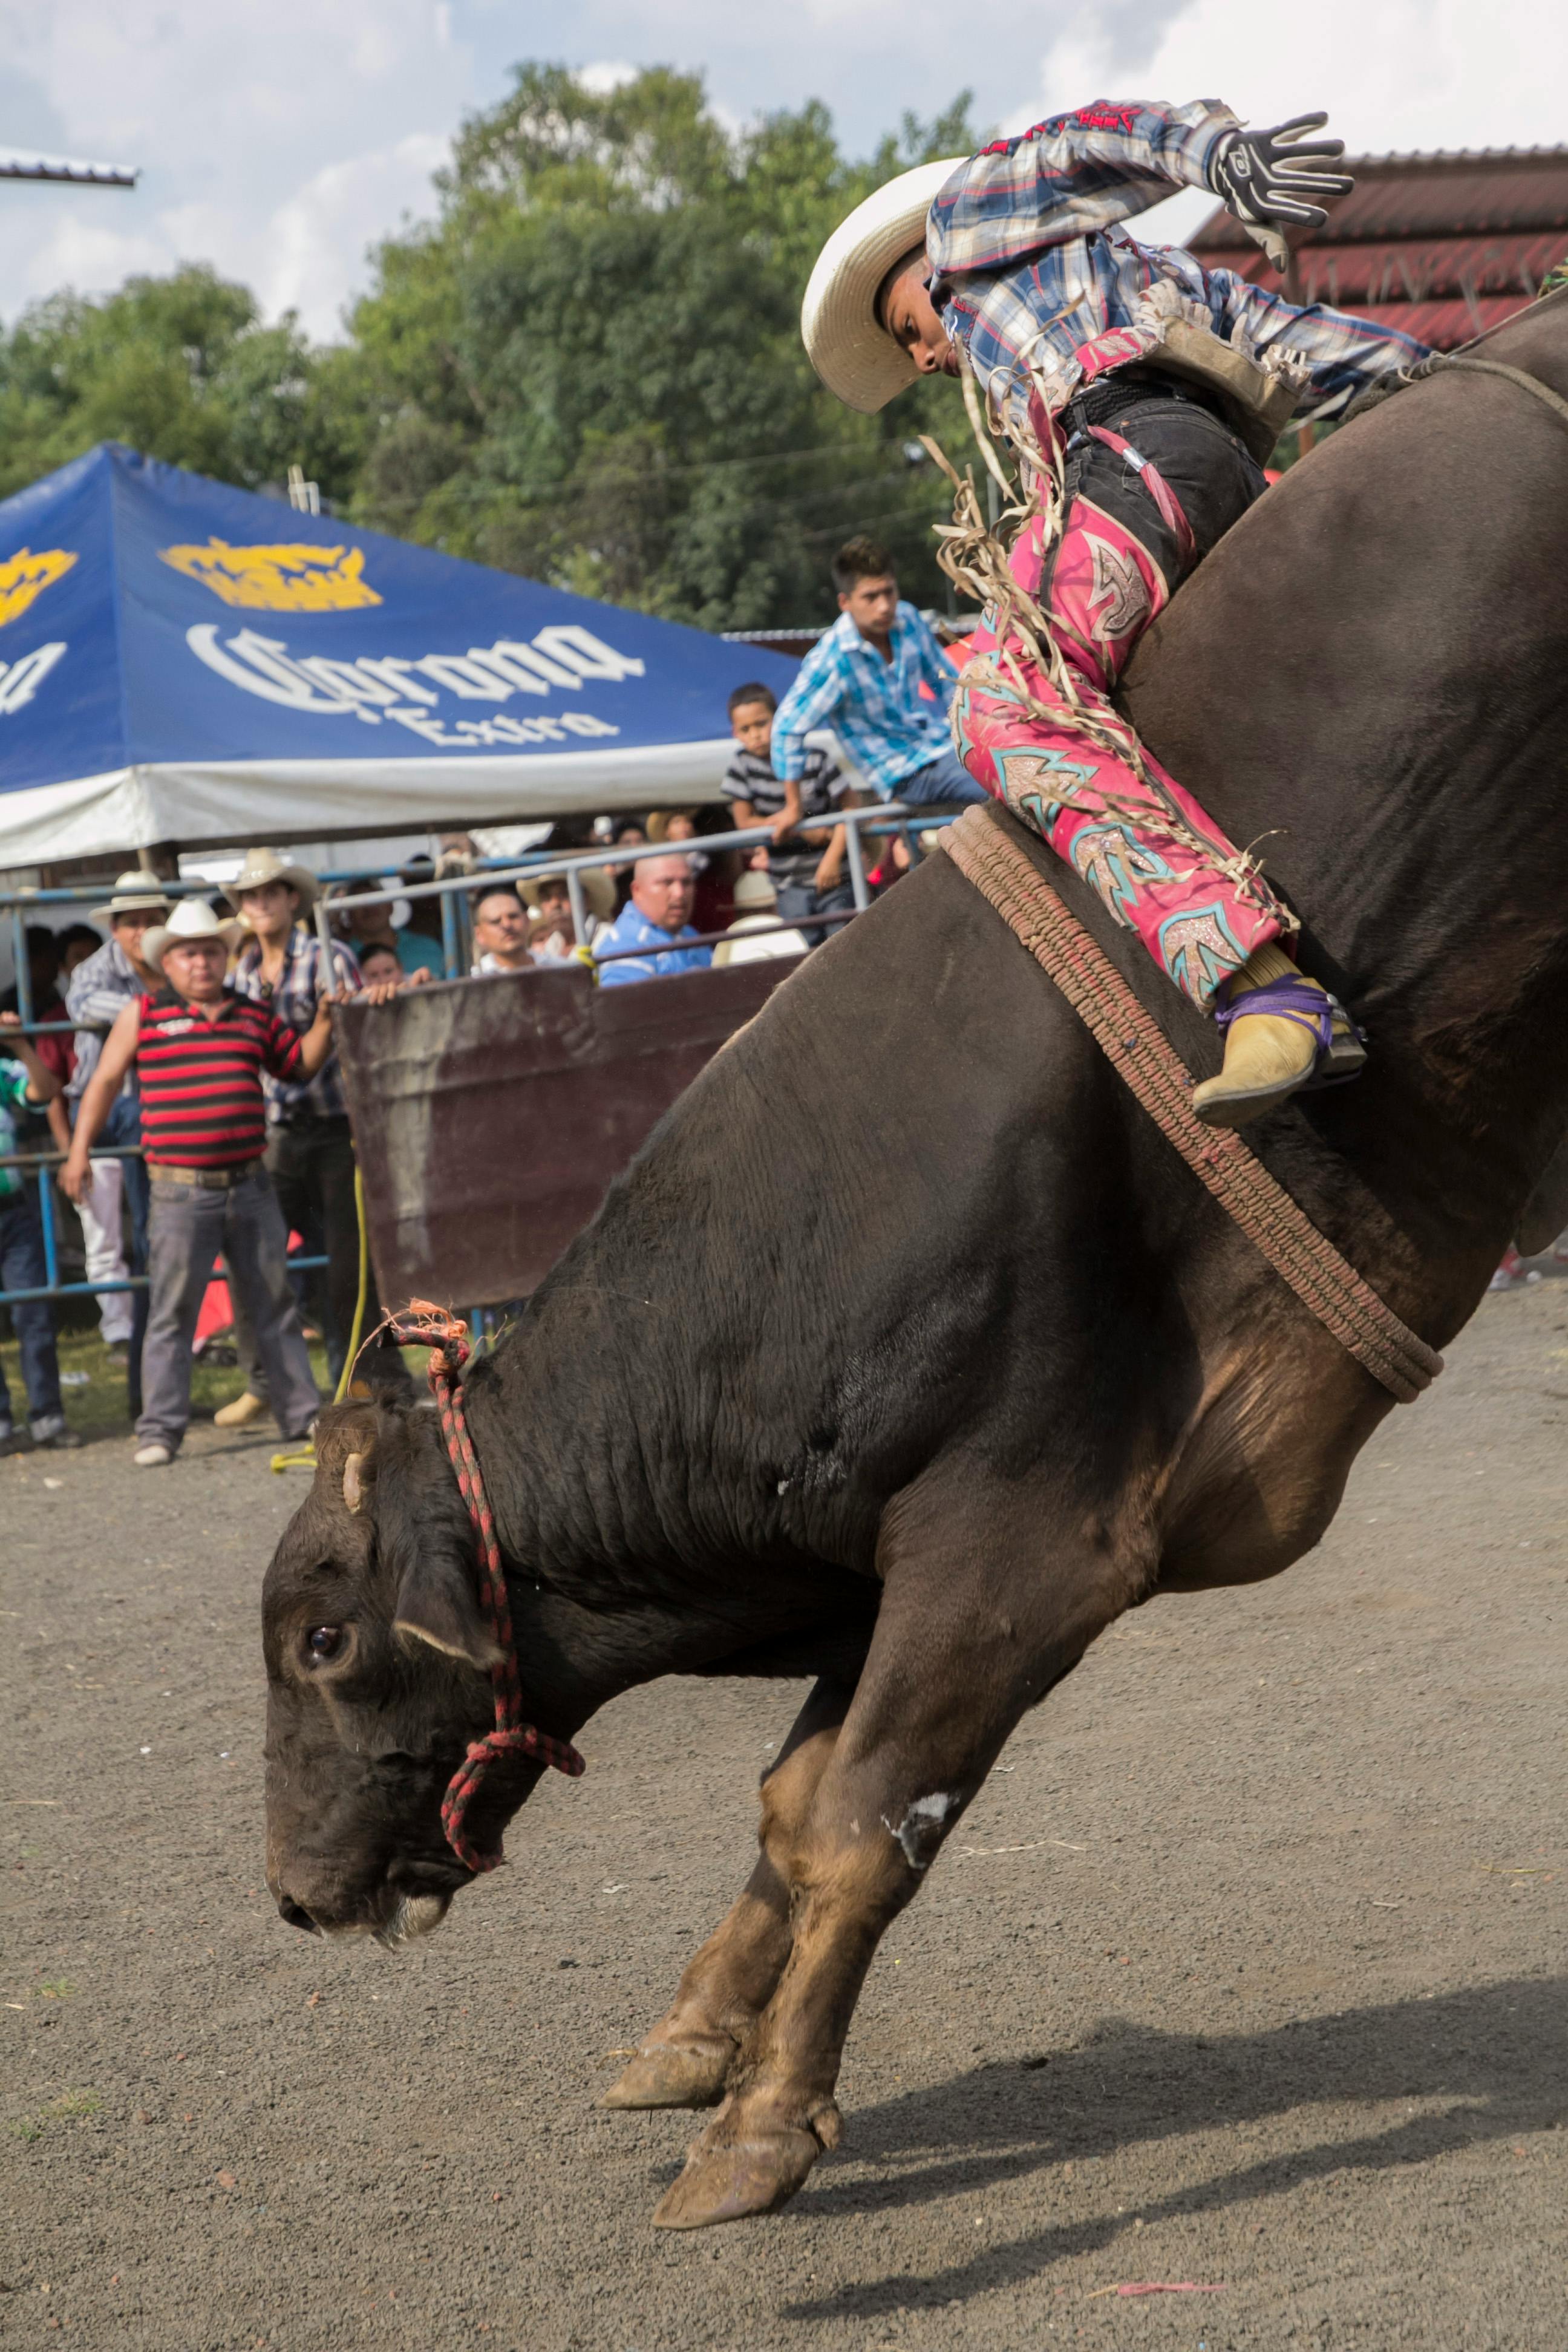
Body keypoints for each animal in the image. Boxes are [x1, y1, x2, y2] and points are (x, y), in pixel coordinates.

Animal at [263, 297, 1568, 2232]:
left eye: (330, 1637)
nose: (292, 1893)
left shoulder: (1019, 1540)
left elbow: (863, 1814)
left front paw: (756, 2131)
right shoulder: (875, 1552)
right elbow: (793, 1800)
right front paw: (689, 2040)